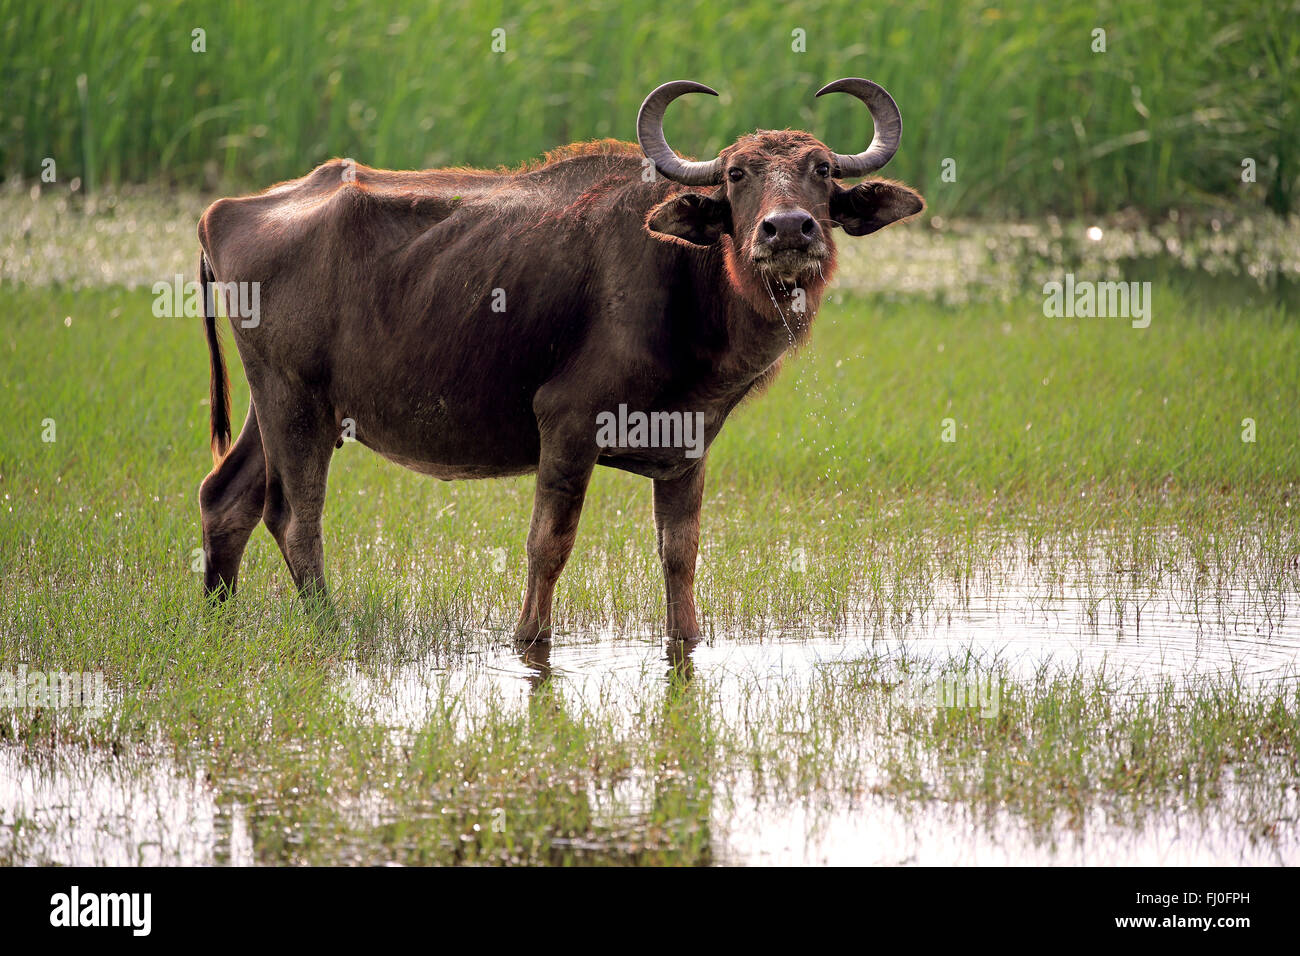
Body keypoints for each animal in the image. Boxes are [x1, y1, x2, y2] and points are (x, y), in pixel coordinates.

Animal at [196, 78, 924, 643]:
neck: (687, 282)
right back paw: (329, 626)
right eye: (737, 174)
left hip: (279, 405)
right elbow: (548, 545)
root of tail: (225, 212)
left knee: (225, 499)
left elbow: (680, 555)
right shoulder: (568, 423)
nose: (789, 229)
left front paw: (685, 639)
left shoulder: (689, 445)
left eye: (821, 170)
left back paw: (219, 621)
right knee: (294, 518)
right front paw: (529, 639)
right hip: (293, 400)